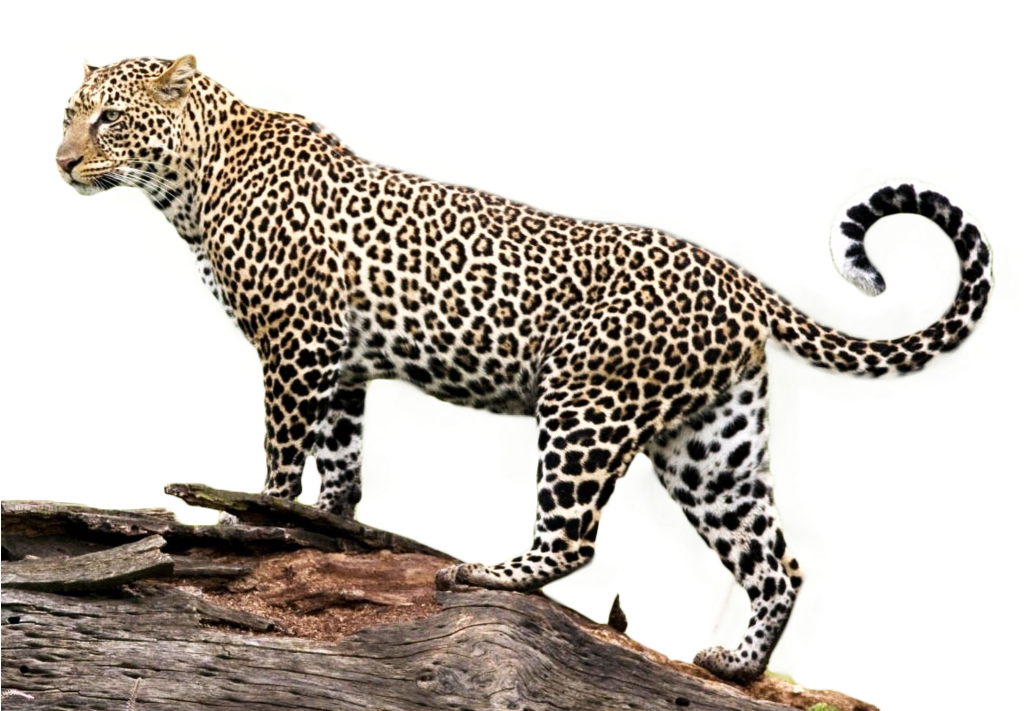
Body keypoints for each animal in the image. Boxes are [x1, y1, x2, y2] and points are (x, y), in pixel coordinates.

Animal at [54, 53, 994, 683]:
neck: (192, 179)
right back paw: (736, 665)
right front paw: (323, 532)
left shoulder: (294, 344)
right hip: (709, 444)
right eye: (68, 112)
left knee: (574, 538)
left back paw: (487, 571)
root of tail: (738, 277)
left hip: (584, 403)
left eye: (109, 120)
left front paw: (249, 525)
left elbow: (283, 456)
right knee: (775, 558)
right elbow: (340, 463)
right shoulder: (340, 361)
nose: (62, 160)